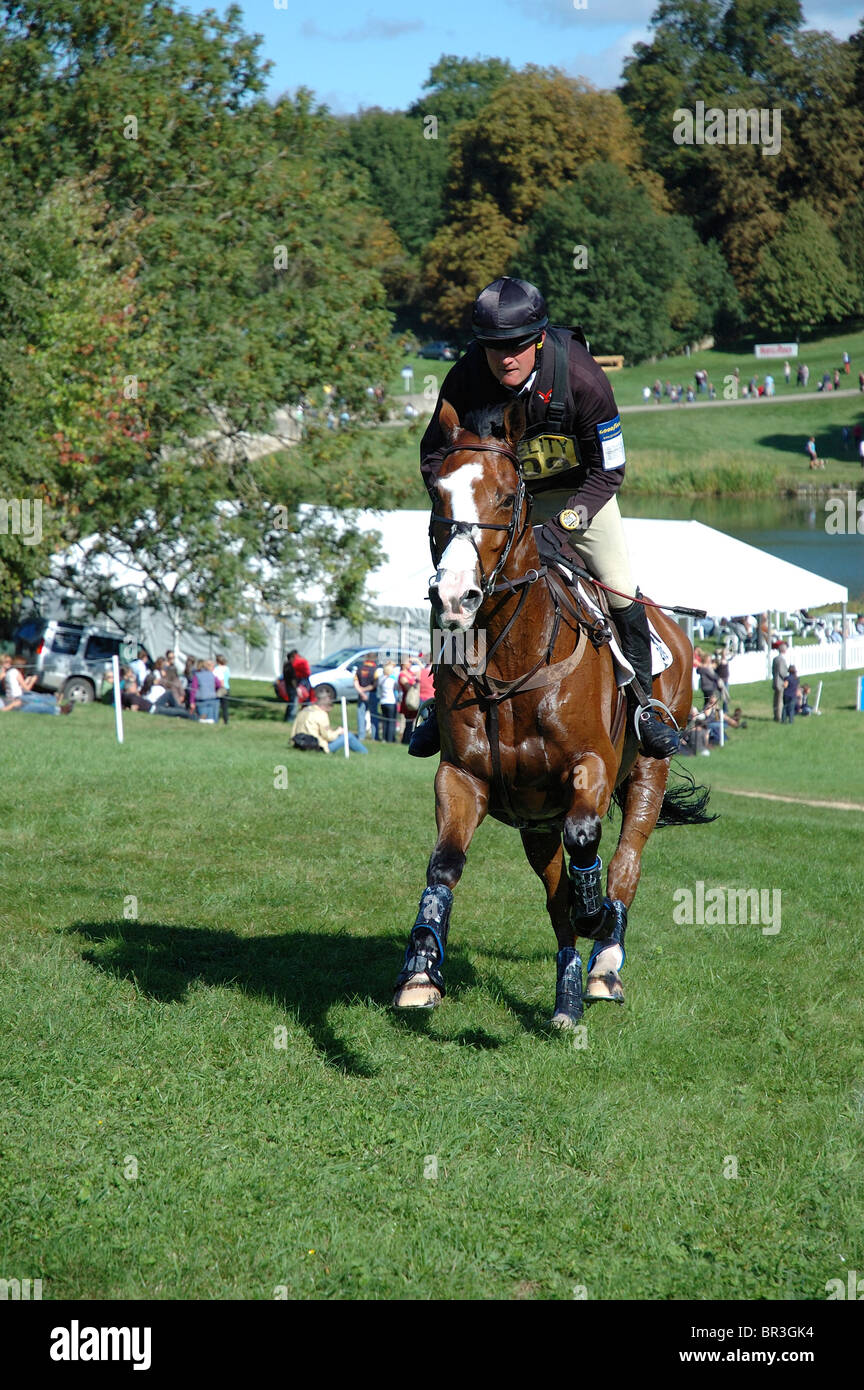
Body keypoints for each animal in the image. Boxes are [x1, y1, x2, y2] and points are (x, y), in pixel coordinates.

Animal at [393, 398, 713, 1029]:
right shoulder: (463, 777)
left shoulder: (591, 766)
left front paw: (597, 916)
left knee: (625, 862)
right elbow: (444, 865)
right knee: (556, 899)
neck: (510, 663)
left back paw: (604, 962)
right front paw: (421, 969)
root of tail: (671, 625)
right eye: (437, 494)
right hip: (534, 822)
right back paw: (566, 995)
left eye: (505, 497)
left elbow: (587, 837)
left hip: (649, 770)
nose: (454, 596)